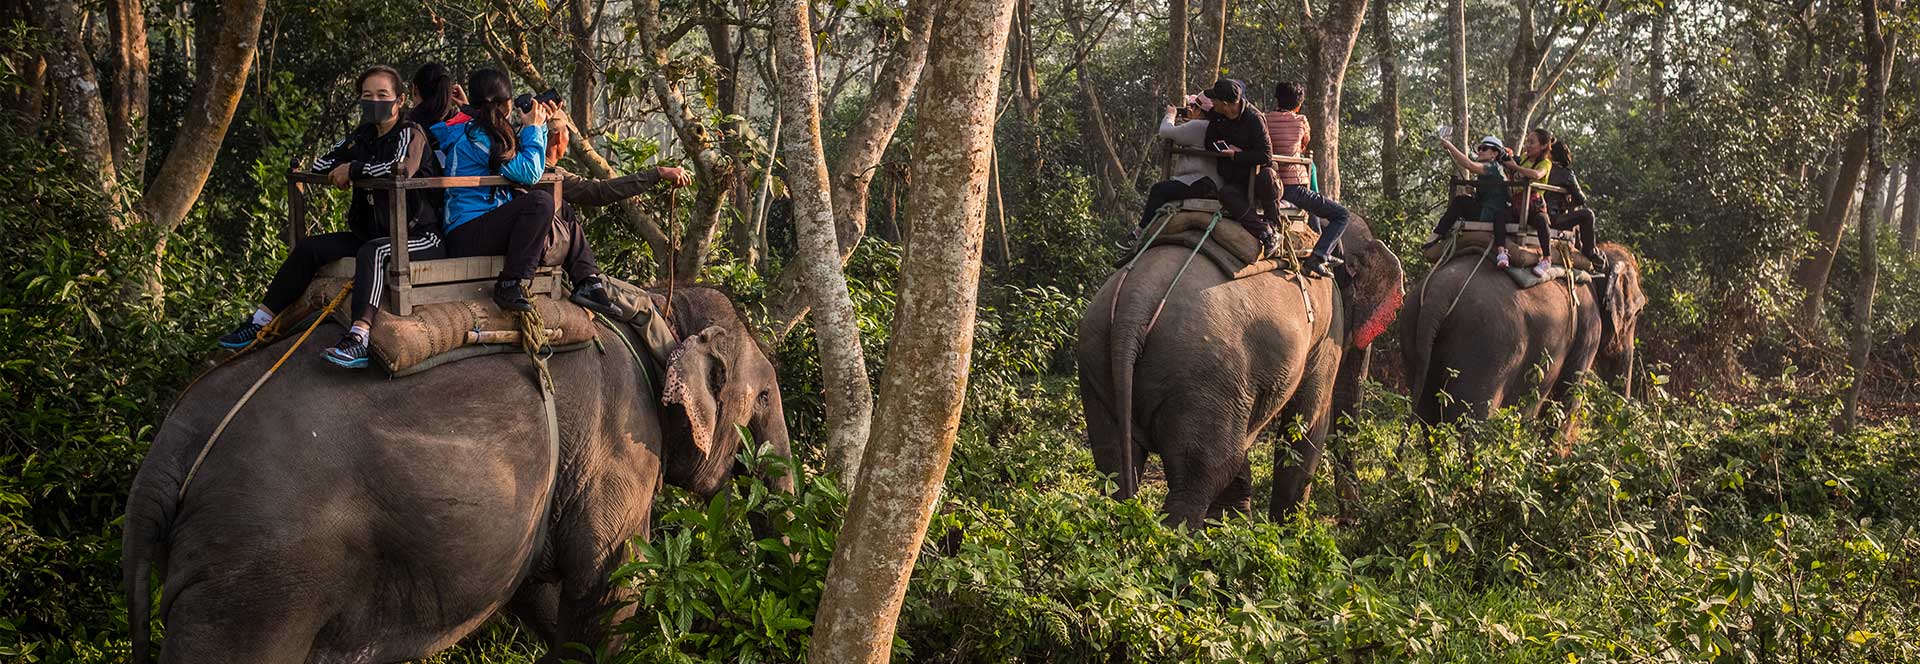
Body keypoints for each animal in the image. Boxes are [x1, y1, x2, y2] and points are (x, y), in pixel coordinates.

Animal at [121, 286, 790, 663]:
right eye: (761, 397)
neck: (656, 303)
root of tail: (168, 454)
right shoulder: (620, 445)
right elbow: (609, 588)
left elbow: (544, 595)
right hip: (258, 577)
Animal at [1078, 215, 1404, 529]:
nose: (1348, 522)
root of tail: (1135, 305)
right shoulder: (1326, 327)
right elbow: (1307, 422)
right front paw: (1287, 534)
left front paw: (1235, 526)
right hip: (1203, 378)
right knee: (1204, 472)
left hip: (1097, 361)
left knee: (1114, 462)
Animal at [1400, 243, 1646, 428]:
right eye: (1638, 311)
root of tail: (1438, 293)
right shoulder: (1588, 326)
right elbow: (1567, 398)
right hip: (1486, 349)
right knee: (1471, 419)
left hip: (1413, 330)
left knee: (1428, 416)